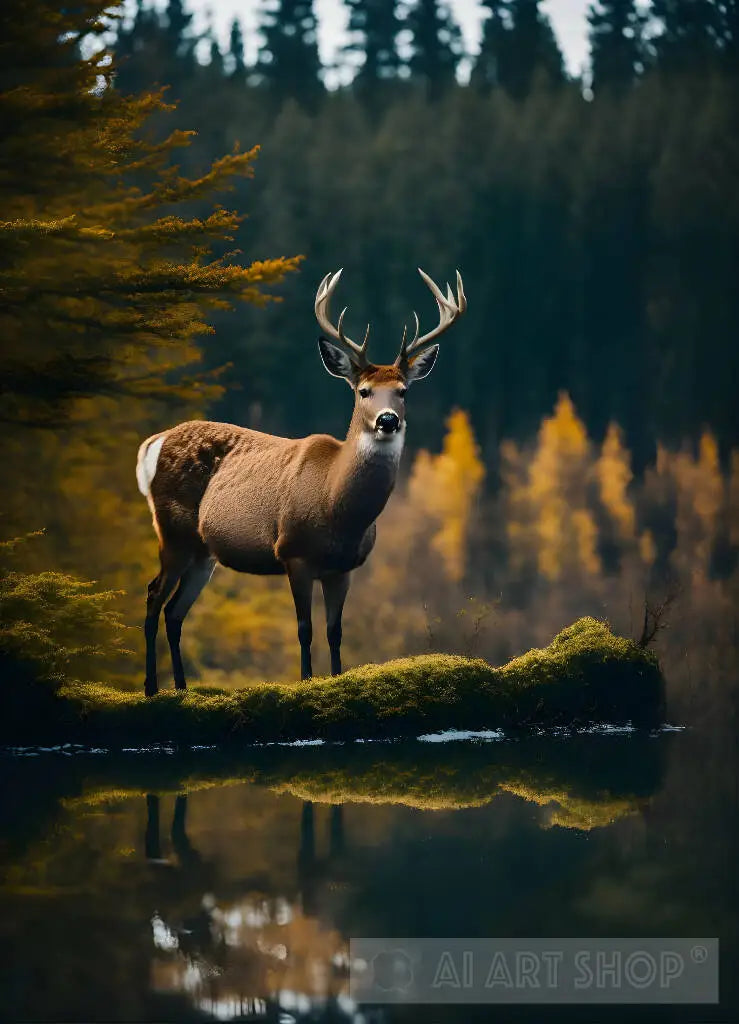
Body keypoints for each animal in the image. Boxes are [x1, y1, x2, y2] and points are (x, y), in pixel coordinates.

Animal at [136, 267, 466, 695]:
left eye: (403, 391)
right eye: (363, 391)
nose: (387, 420)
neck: (335, 506)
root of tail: (154, 443)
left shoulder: (344, 567)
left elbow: (335, 632)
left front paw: (338, 679)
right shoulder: (294, 552)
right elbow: (304, 629)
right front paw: (307, 680)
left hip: (203, 552)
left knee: (175, 612)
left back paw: (181, 688)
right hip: (173, 532)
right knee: (154, 595)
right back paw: (150, 687)